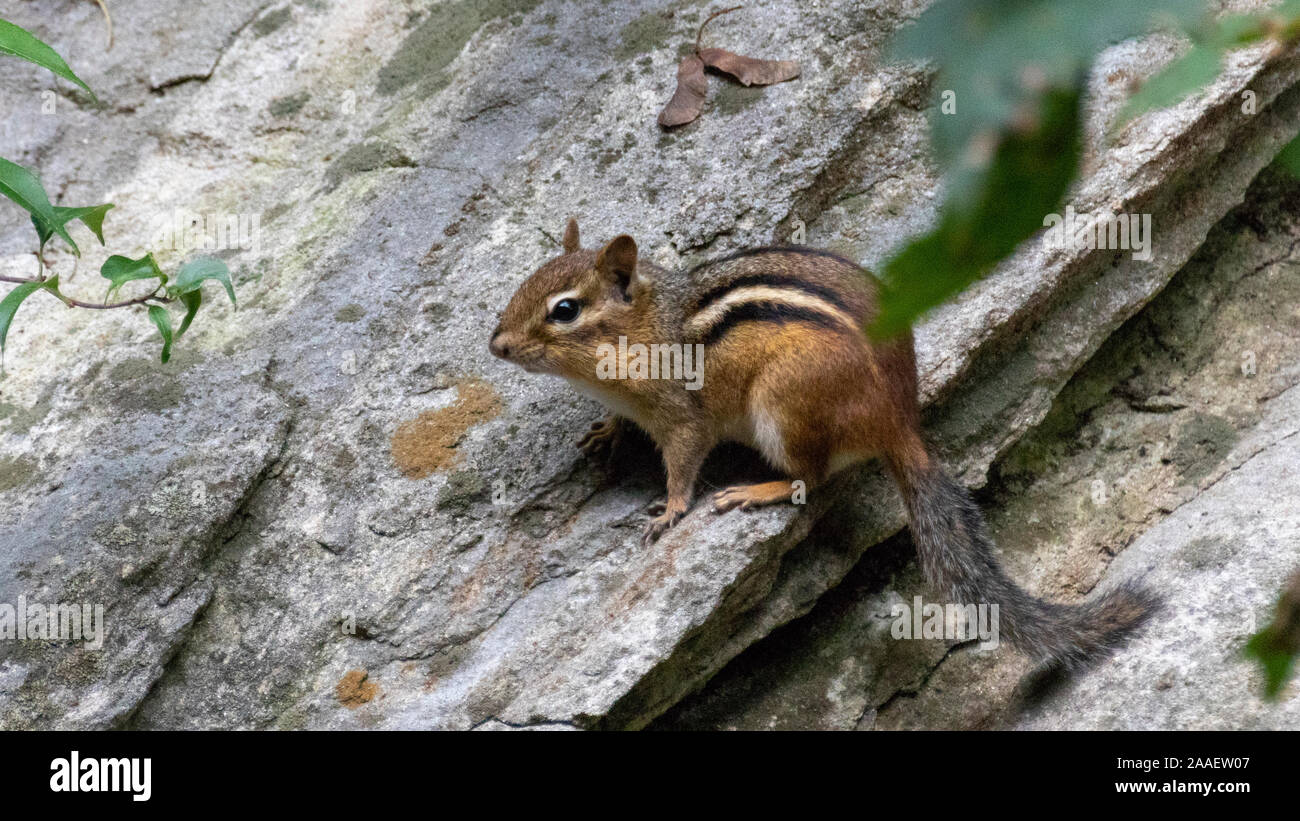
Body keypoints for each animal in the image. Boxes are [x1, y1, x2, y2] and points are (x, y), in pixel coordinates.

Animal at [490, 218, 1159, 669]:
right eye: (522, 286)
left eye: (565, 310)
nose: (495, 345)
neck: (649, 327)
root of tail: (899, 421)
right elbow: (621, 424)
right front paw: (606, 432)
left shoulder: (682, 418)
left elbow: (682, 463)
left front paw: (670, 511)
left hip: (784, 407)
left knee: (811, 480)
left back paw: (757, 490)